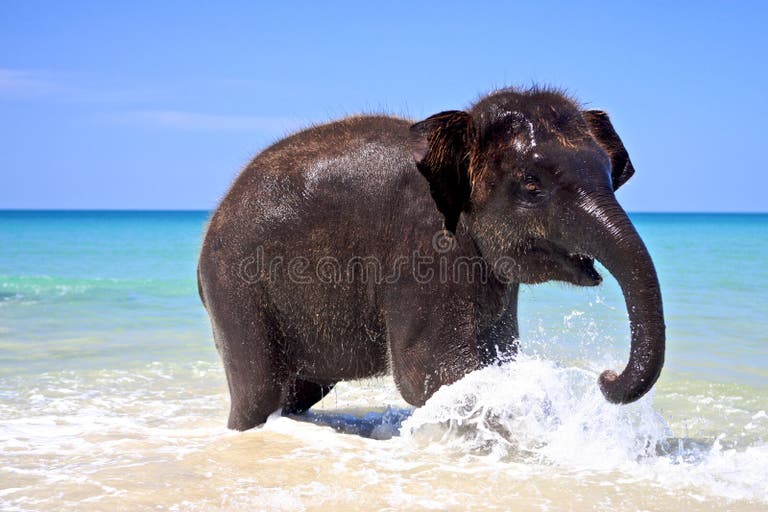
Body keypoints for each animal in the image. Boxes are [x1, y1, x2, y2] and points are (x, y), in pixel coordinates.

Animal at [198, 86, 665, 431]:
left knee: (299, 393)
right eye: (533, 185)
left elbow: (491, 358)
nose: (605, 377)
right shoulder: (425, 246)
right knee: (260, 393)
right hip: (236, 290)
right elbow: (433, 374)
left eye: (611, 175)